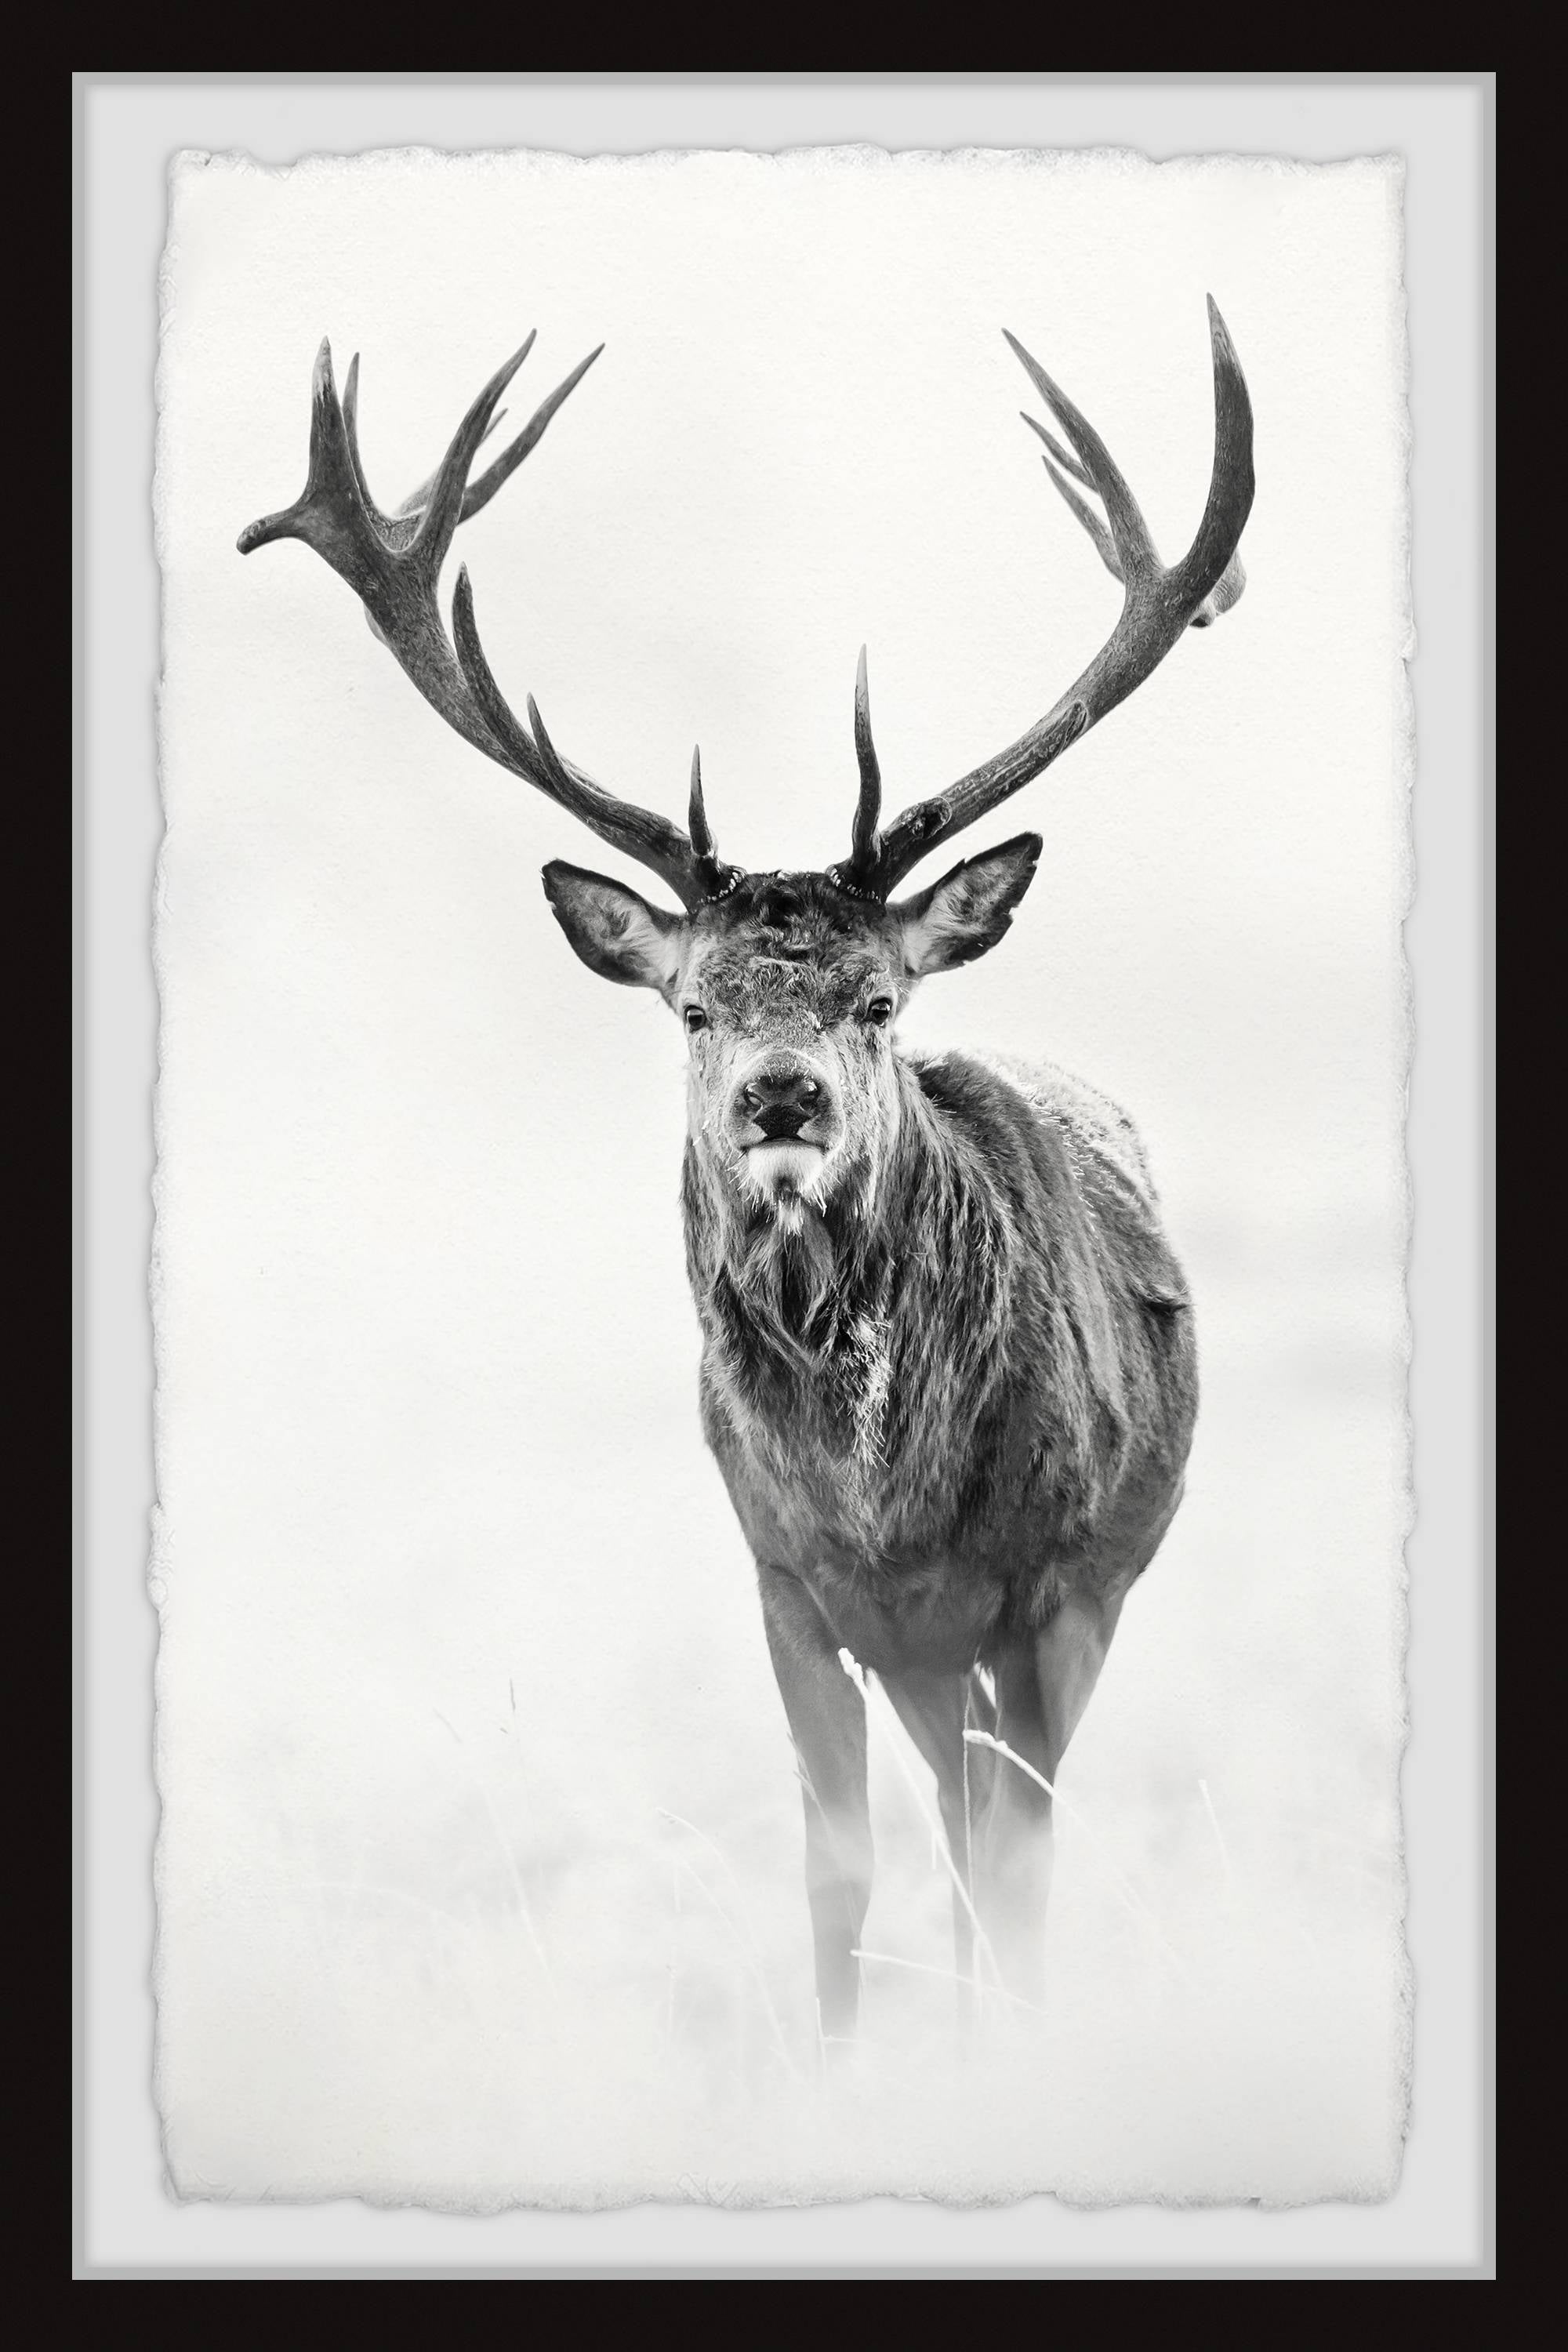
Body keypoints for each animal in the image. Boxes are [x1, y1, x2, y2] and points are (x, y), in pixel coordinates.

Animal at [238, 298, 1254, 2048]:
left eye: (881, 1001)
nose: (783, 1098)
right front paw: (844, 2065)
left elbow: (1020, 1865)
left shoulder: (1049, 1584)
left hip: (1084, 1591)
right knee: (951, 1819)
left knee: (1000, 1834)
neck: (881, 1504)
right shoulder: (785, 1583)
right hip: (920, 1658)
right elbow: (839, 1869)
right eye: (695, 1005)